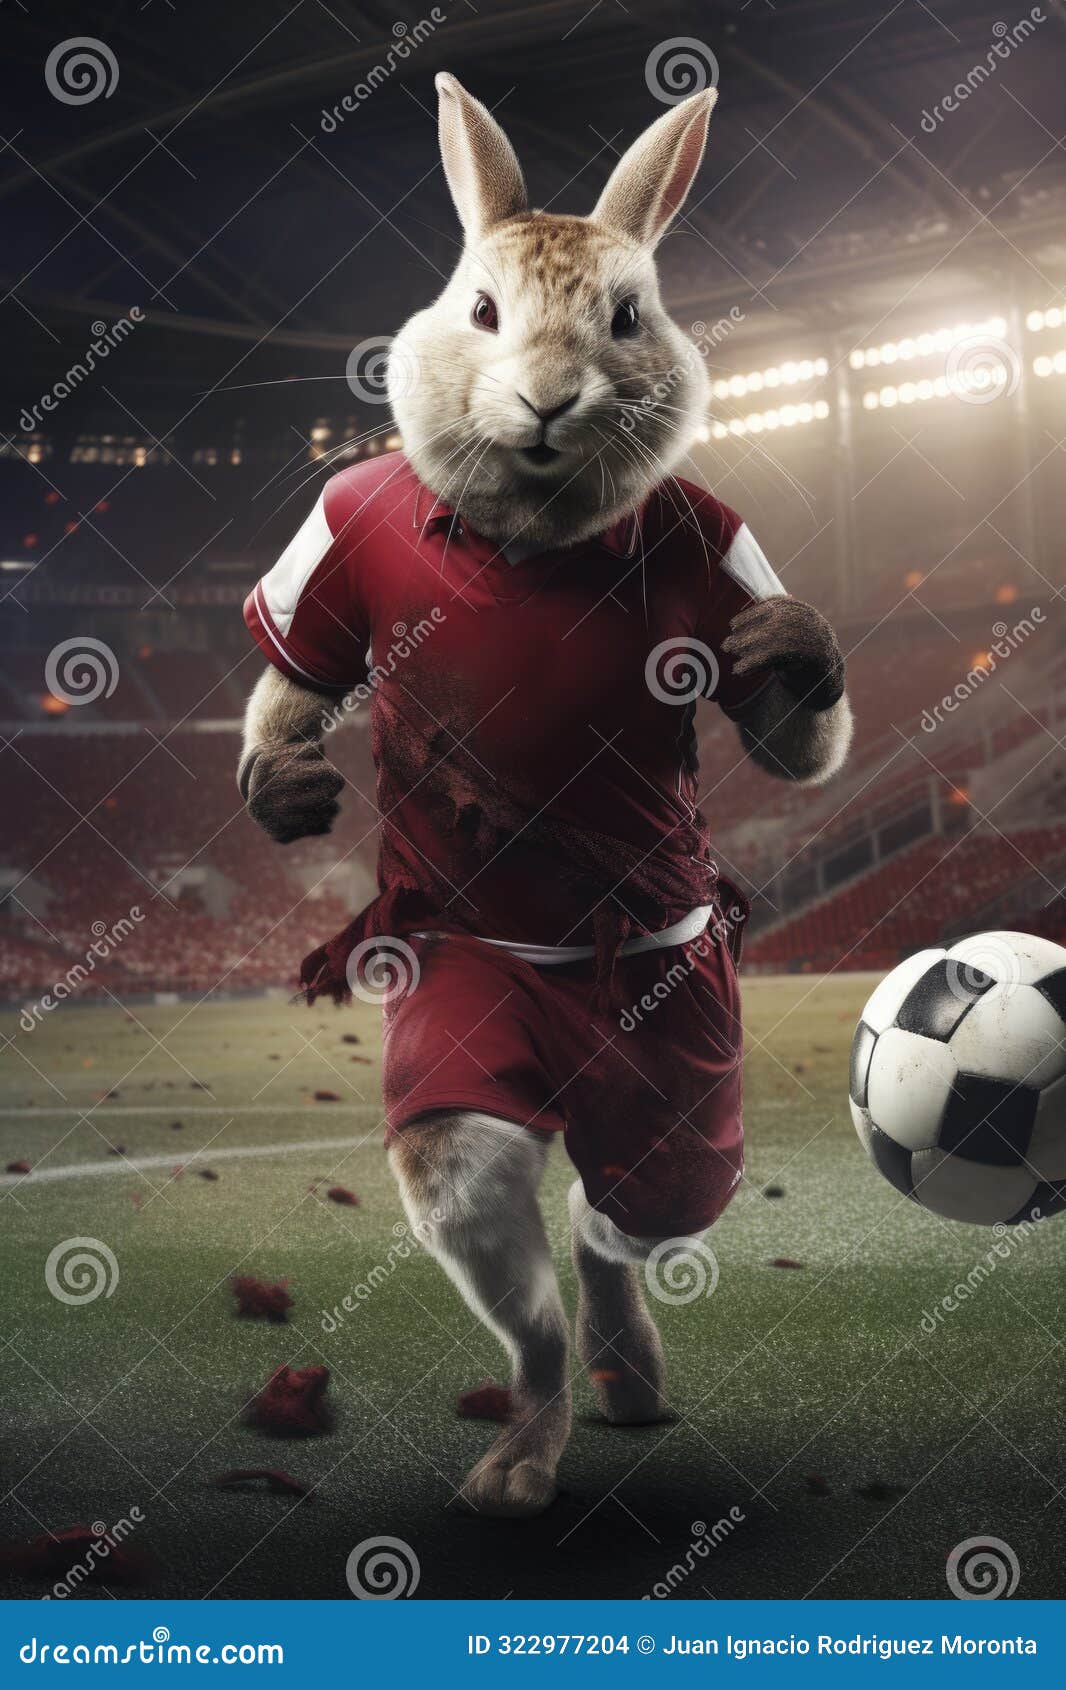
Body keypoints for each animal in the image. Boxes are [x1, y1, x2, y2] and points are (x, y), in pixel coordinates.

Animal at [240, 72, 852, 1519]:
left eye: (626, 317)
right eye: (478, 310)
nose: (543, 401)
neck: (527, 528)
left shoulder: (715, 544)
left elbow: (788, 738)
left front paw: (793, 648)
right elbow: (295, 680)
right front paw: (283, 786)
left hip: (682, 1086)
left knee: (634, 1206)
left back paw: (625, 1364)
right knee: (537, 1218)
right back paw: (535, 1434)